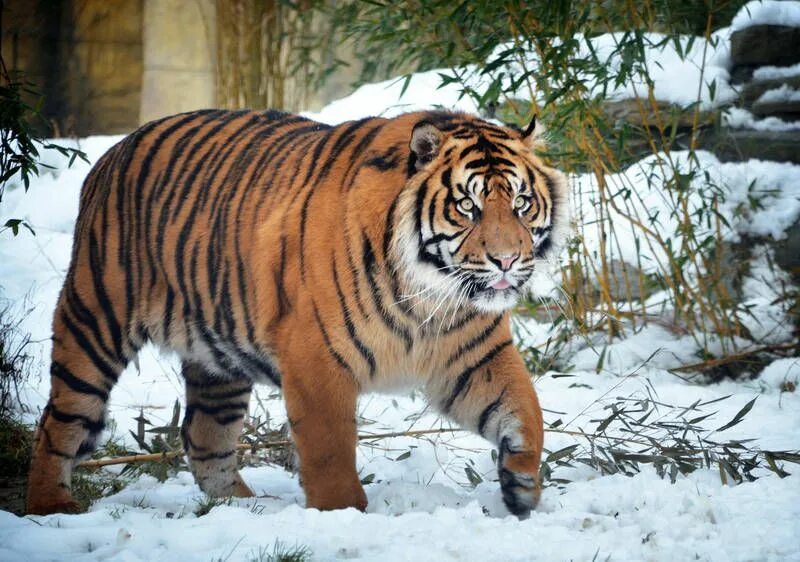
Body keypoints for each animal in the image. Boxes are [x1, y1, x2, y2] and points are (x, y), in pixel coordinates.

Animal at [26, 108, 568, 516]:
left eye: (521, 204)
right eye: (468, 207)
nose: (507, 260)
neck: (431, 297)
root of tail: (114, 151)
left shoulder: (476, 354)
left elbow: (527, 409)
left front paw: (522, 486)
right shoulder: (317, 358)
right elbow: (329, 450)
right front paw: (342, 513)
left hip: (218, 358)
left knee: (203, 436)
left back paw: (245, 508)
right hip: (94, 319)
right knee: (59, 419)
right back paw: (50, 505)